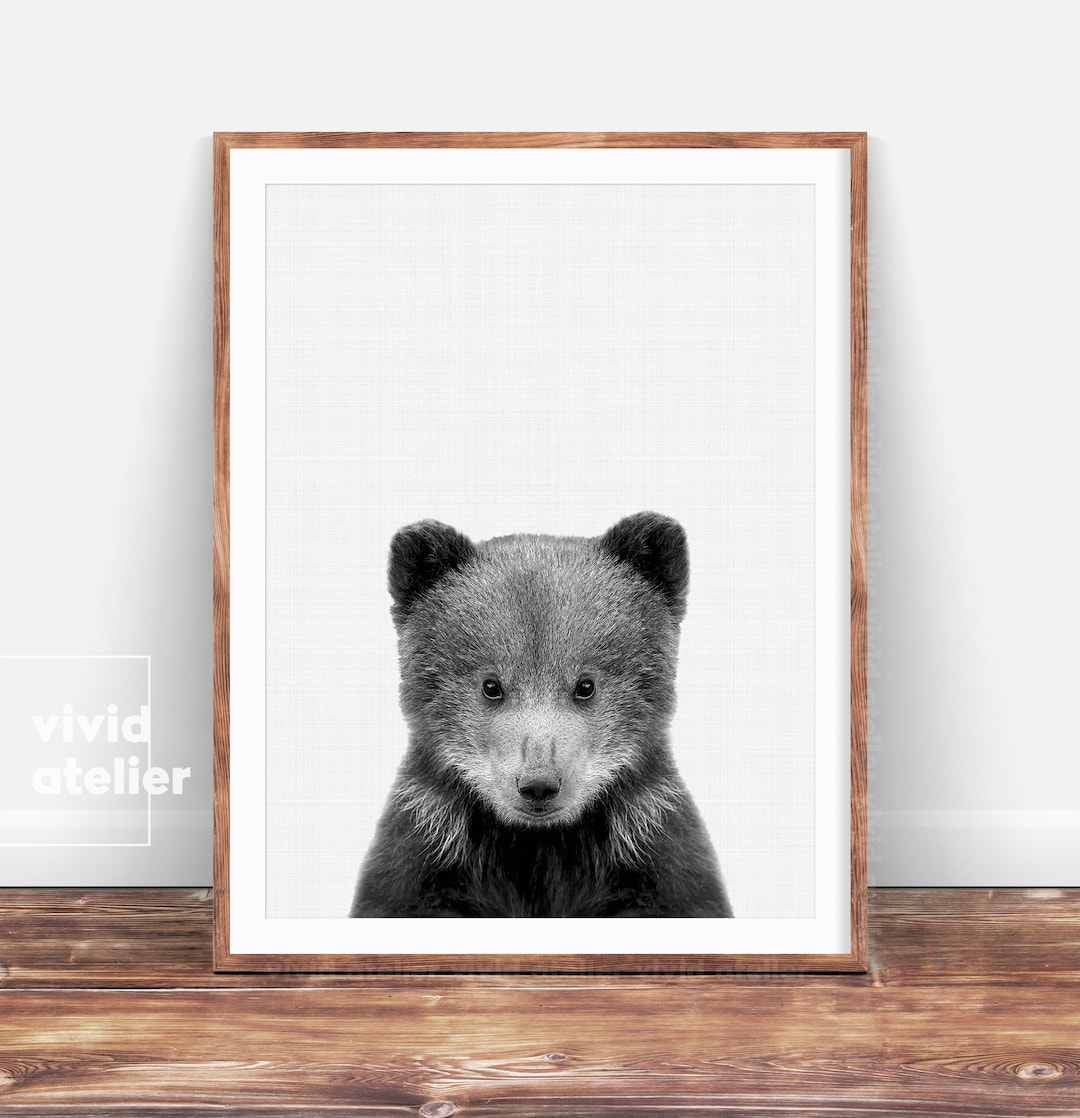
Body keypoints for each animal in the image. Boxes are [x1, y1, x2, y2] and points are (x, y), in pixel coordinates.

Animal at [350, 511, 732, 919]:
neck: (540, 848)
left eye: (585, 685)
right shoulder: (421, 856)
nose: (539, 784)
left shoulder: (657, 856)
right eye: (490, 685)